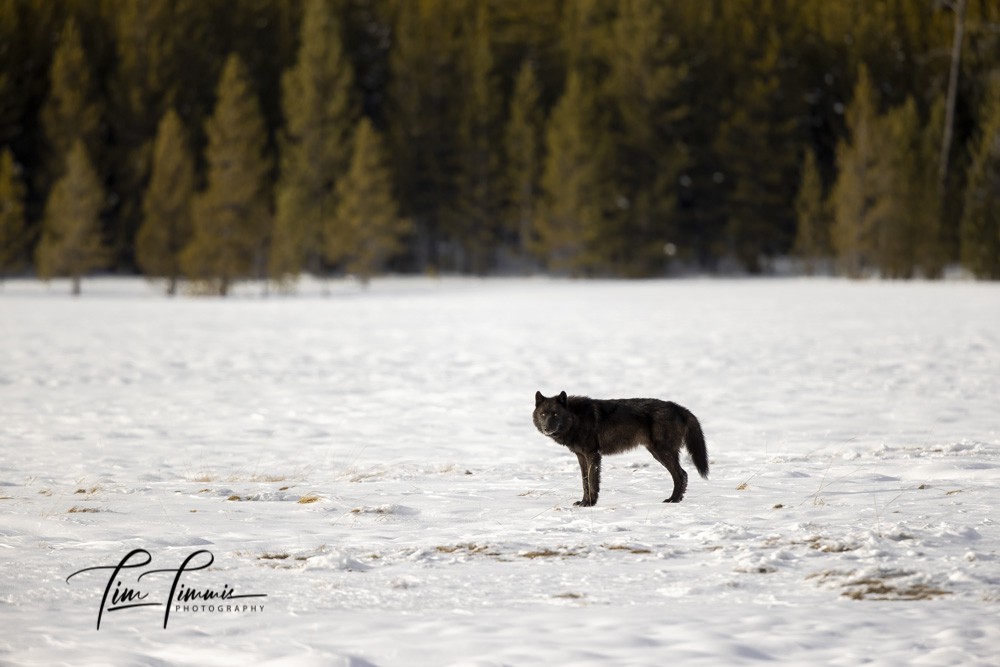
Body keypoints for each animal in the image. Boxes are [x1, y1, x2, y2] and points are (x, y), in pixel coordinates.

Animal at [533, 391, 709, 506]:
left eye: (555, 414)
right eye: (543, 414)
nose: (547, 428)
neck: (576, 418)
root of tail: (679, 408)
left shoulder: (593, 455)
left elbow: (592, 481)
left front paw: (590, 503)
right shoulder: (581, 456)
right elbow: (585, 482)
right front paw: (583, 502)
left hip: (662, 452)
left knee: (682, 475)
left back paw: (673, 500)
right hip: (658, 452)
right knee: (682, 475)